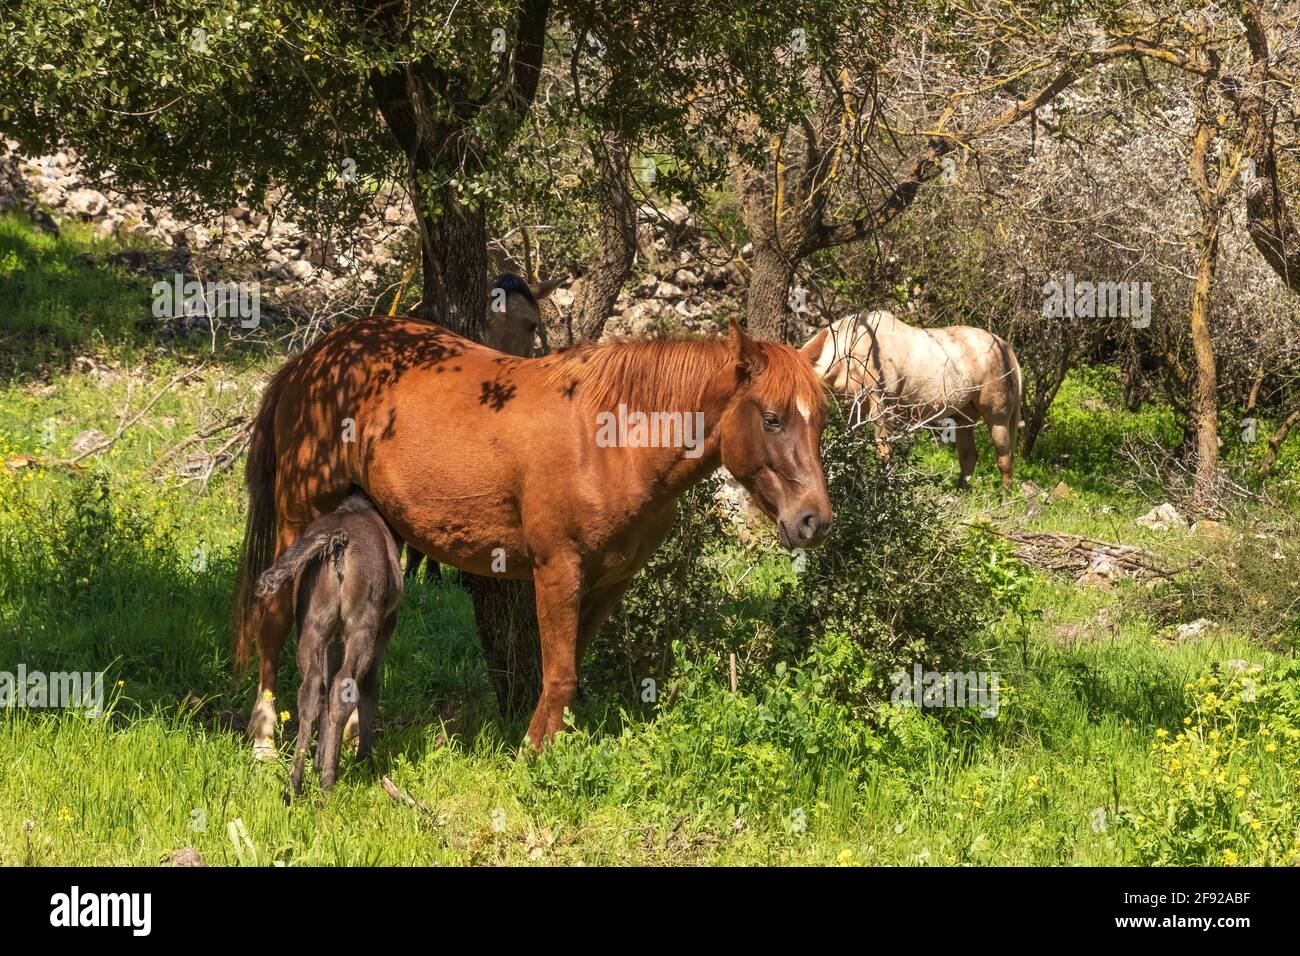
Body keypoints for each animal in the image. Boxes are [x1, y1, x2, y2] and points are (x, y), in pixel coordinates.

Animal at [233, 315, 832, 751]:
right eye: (772, 418)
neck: (611, 440)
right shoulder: (557, 569)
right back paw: (263, 738)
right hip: (299, 518)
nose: (815, 520)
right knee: (274, 616)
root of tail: (314, 358)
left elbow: (569, 670)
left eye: (820, 420)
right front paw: (534, 754)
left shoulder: (607, 583)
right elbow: (559, 673)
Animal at [254, 492, 403, 794]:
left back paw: (295, 784)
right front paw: (364, 758)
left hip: (313, 624)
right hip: (362, 629)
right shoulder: (385, 625)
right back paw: (327, 785)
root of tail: (338, 541)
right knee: (343, 688)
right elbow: (370, 686)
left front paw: (319, 758)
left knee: (312, 689)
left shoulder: (332, 637)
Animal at [801, 311, 1022, 491]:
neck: (852, 349)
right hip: (963, 419)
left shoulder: (880, 409)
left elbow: (884, 452)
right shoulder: (856, 412)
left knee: (1004, 459)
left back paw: (1005, 501)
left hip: (997, 418)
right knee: (968, 458)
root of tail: (1005, 347)